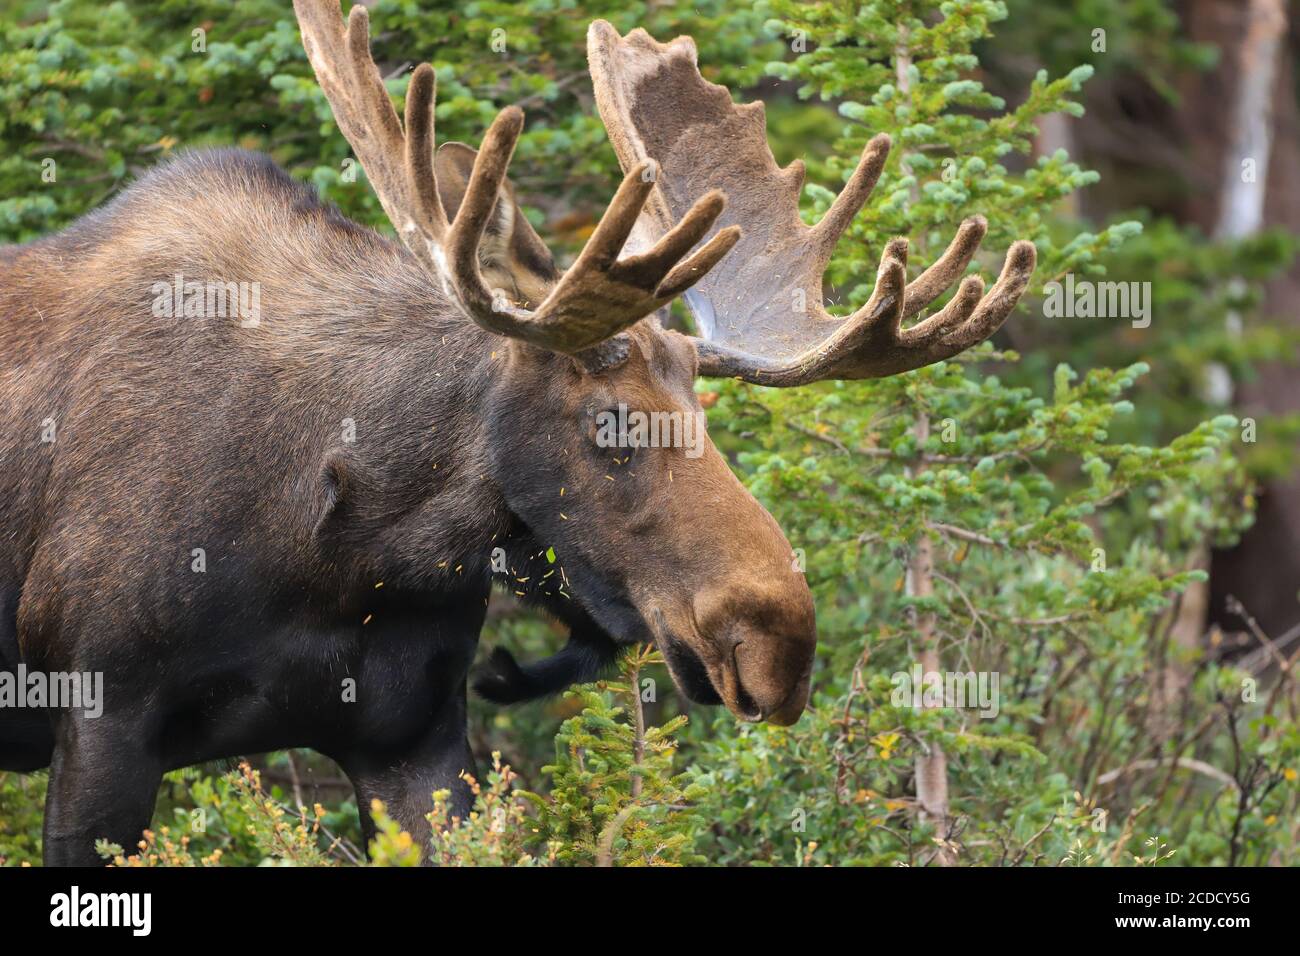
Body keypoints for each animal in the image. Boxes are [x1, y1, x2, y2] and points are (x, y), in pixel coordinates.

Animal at [0, 0, 1034, 865]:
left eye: (704, 416)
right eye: (608, 427)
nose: (779, 643)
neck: (338, 546)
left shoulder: (412, 737)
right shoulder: (102, 716)